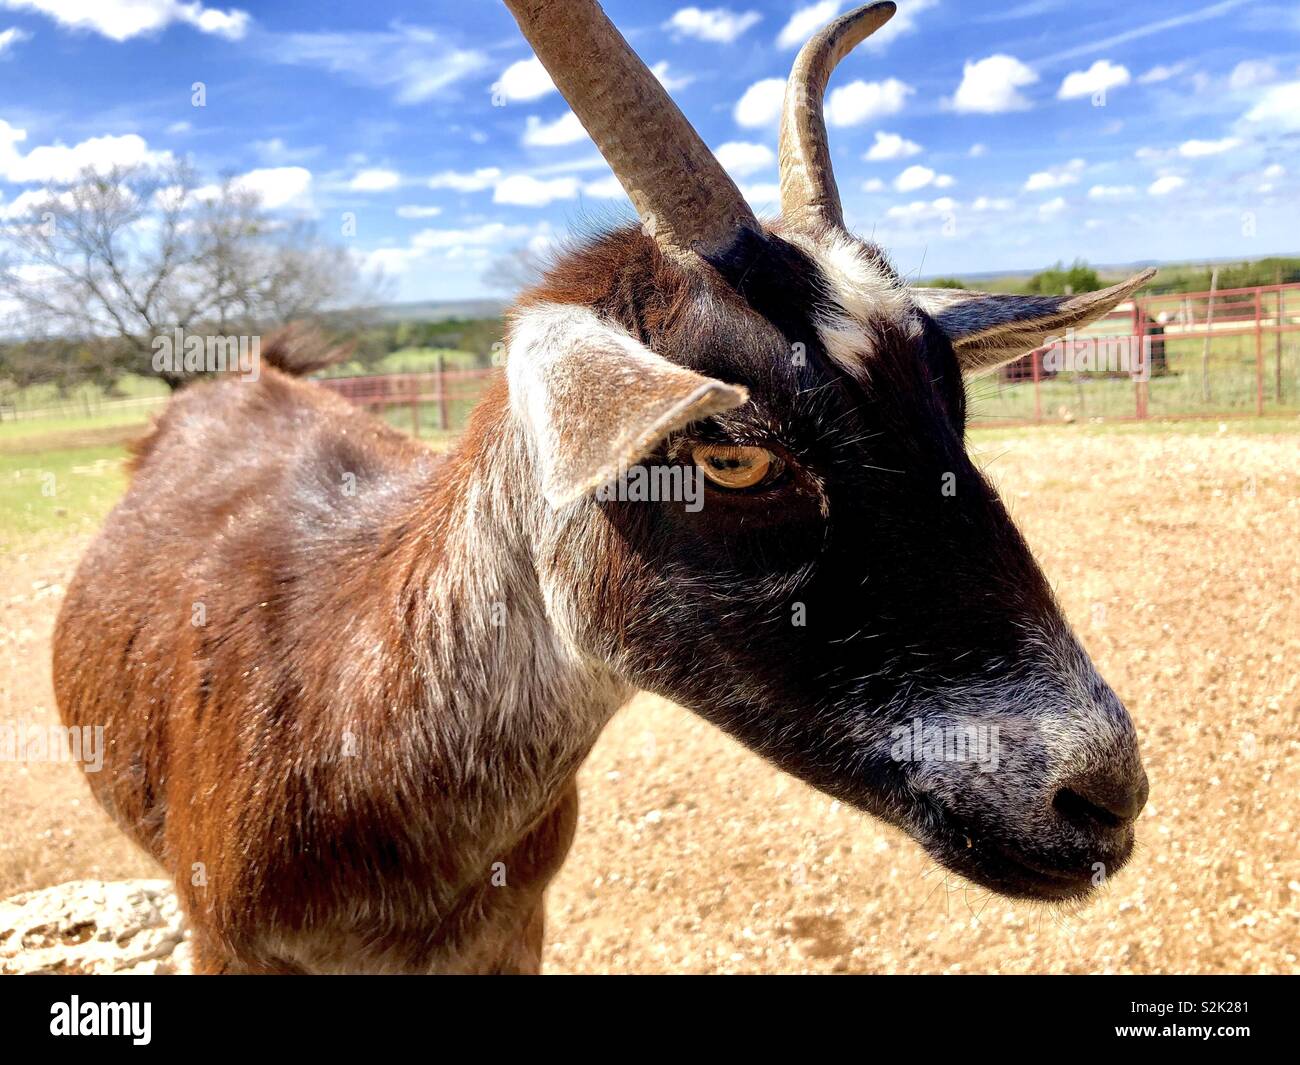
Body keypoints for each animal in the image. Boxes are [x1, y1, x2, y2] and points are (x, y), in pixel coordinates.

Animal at [54, 0, 1150, 974]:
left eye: (950, 405)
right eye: (731, 451)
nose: (1102, 797)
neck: (347, 706)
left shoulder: (513, 933)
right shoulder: (225, 941)